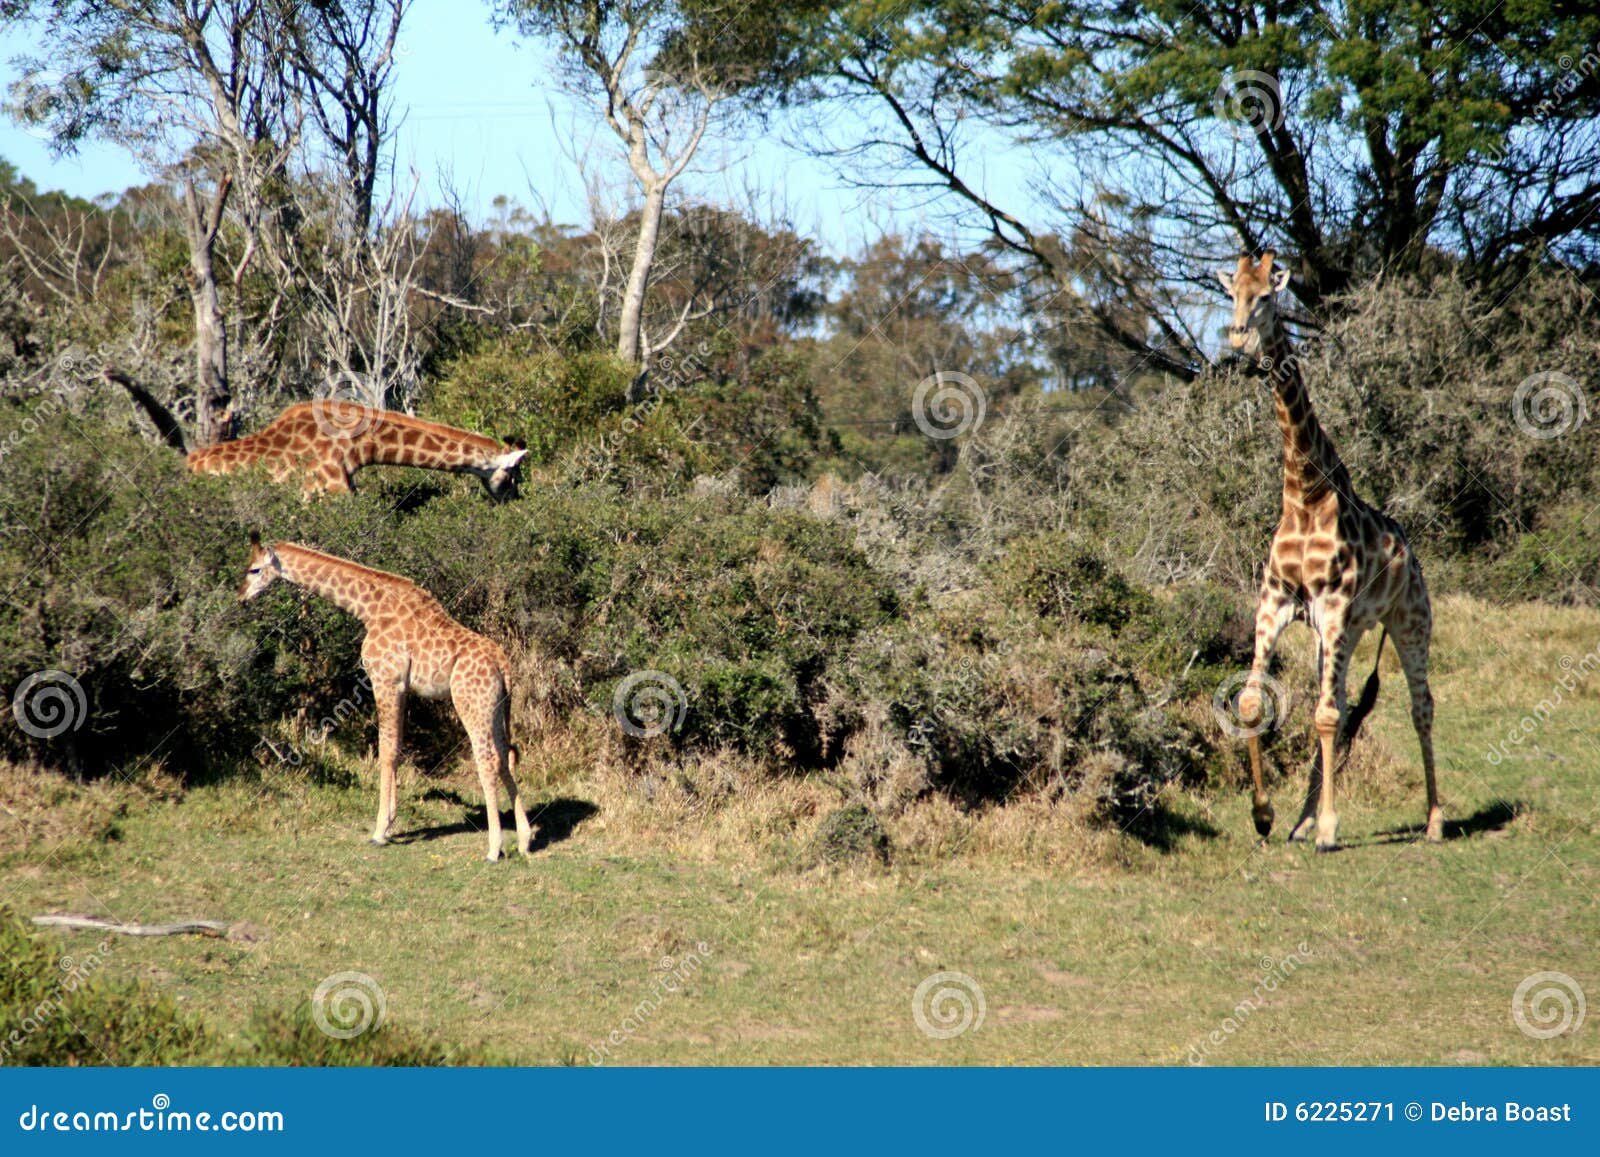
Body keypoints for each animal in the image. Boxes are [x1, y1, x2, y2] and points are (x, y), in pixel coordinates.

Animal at [237, 535, 533, 861]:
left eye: (254, 569)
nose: (240, 596)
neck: (369, 608)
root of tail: (504, 666)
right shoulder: (402, 688)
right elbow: (398, 748)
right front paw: (390, 823)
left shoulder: (384, 681)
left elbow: (386, 749)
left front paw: (379, 831)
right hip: (496, 708)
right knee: (506, 756)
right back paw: (524, 840)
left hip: (470, 704)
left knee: (488, 759)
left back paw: (494, 849)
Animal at [1216, 251, 1442, 851]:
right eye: (1232, 294)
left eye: (1265, 297)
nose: (1238, 338)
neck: (1302, 493)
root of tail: (1410, 553)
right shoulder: (1276, 601)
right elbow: (1253, 702)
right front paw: (1266, 816)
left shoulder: (1334, 604)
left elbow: (1321, 717)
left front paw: (1330, 828)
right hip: (1345, 630)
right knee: (1340, 703)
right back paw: (1303, 820)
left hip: (1409, 622)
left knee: (1421, 707)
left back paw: (1435, 820)